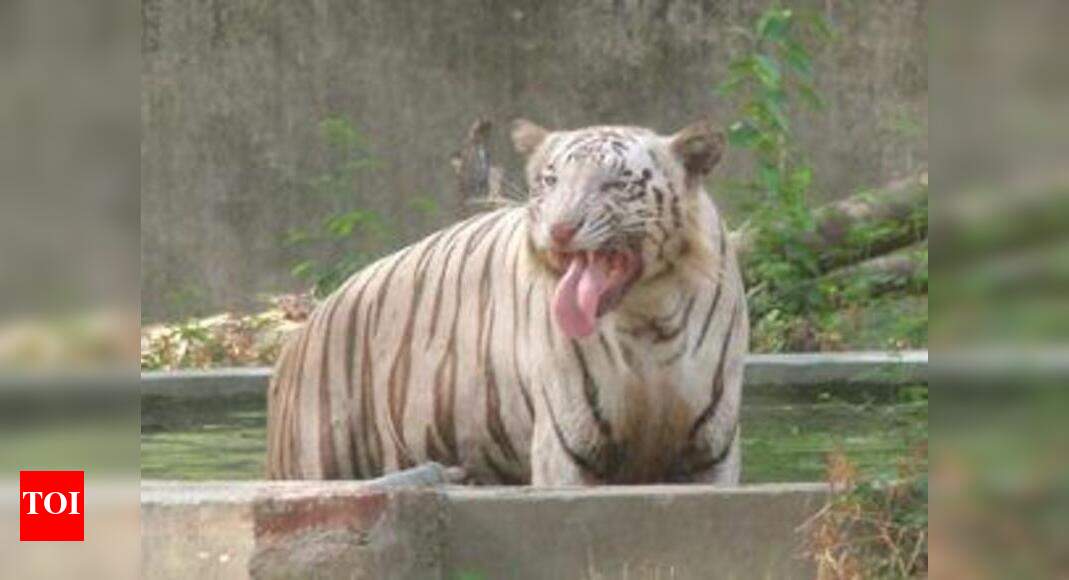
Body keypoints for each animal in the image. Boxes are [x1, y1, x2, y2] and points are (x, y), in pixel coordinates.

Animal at [266, 119, 748, 486]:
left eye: (614, 183)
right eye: (551, 181)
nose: (560, 229)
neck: (647, 316)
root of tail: (303, 329)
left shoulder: (709, 452)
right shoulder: (569, 451)